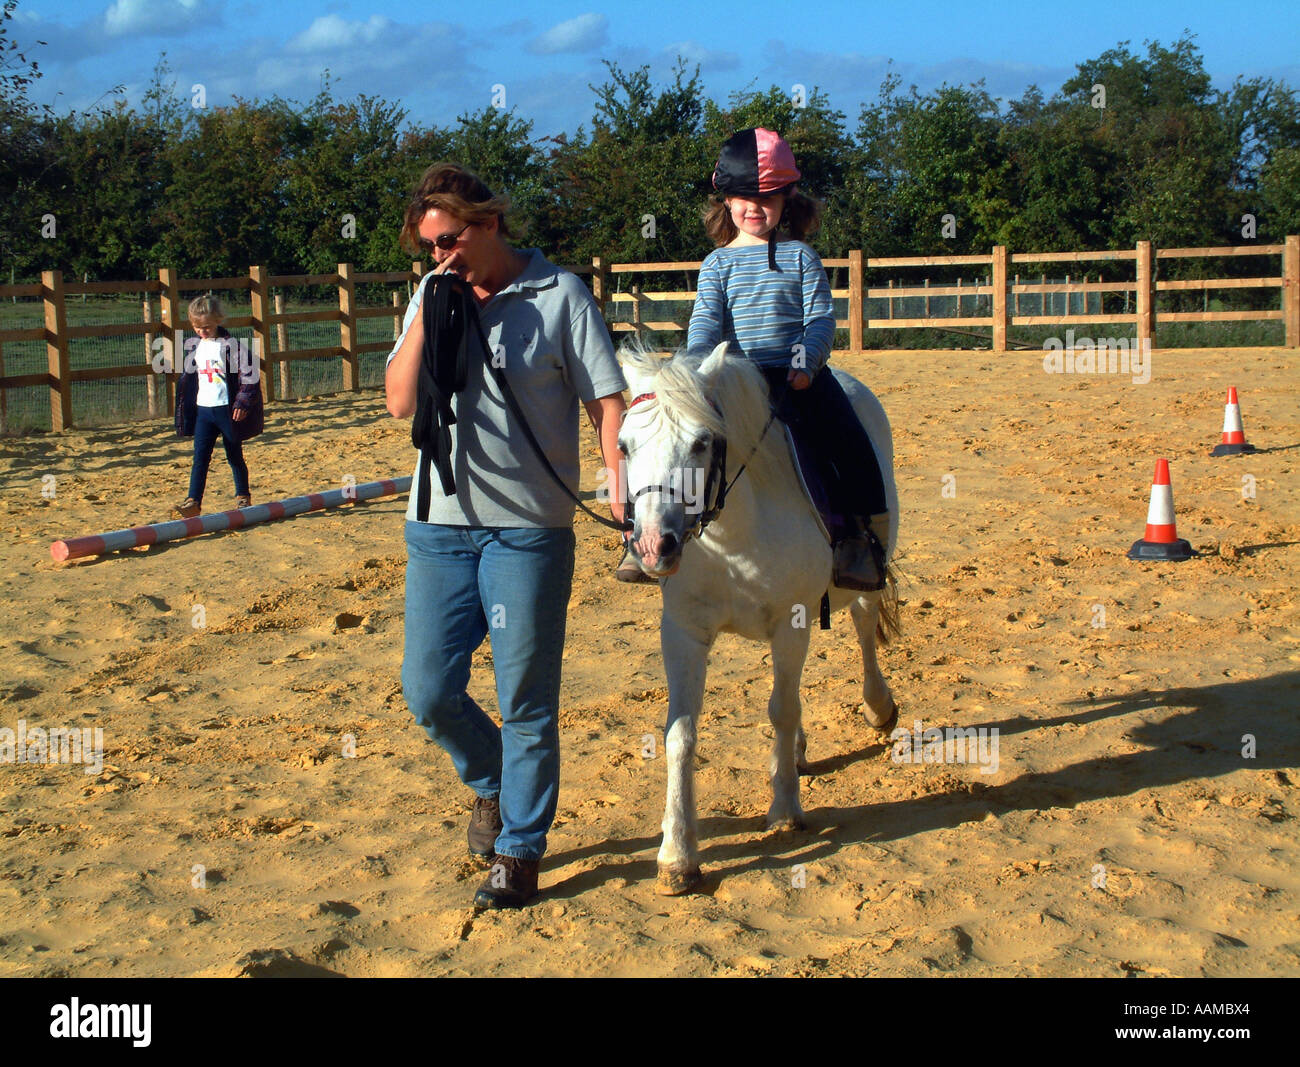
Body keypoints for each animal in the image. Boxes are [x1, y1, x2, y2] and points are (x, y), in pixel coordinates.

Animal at [618, 341, 901, 895]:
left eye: (702, 442)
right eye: (623, 446)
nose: (654, 546)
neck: (731, 535)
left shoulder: (791, 623)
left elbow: (781, 711)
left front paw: (785, 810)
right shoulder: (683, 632)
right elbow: (681, 734)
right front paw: (677, 856)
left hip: (860, 584)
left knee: (862, 628)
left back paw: (879, 708)